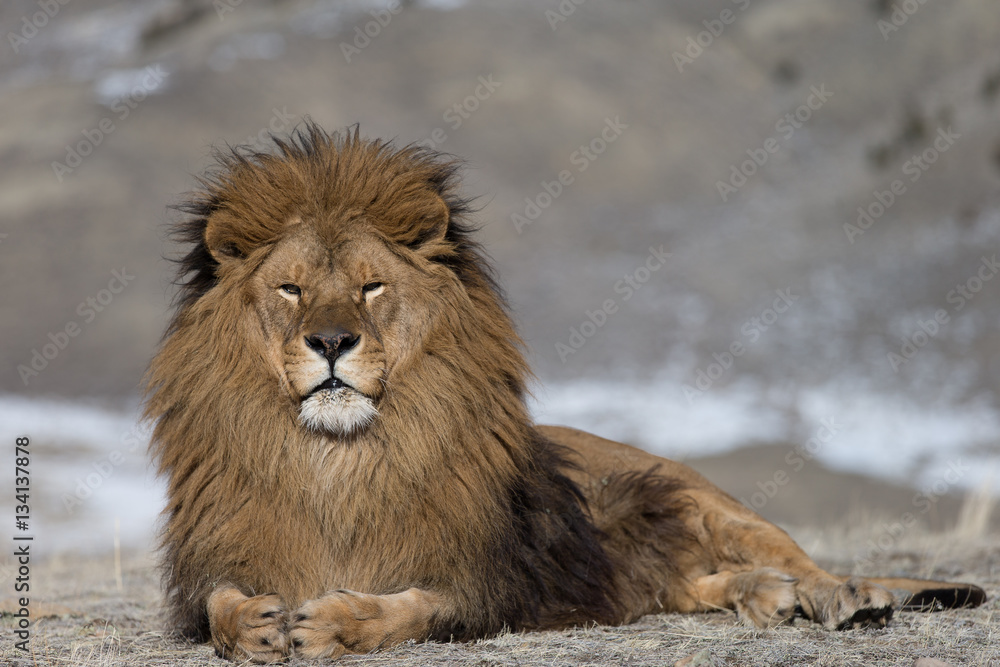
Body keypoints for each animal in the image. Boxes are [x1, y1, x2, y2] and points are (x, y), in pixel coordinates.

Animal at [145, 124, 986, 663]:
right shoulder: (209, 561)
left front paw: (336, 623)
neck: (334, 457)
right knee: (700, 582)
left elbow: (408, 607)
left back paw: (845, 597)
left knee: (809, 561)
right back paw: (768, 597)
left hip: (706, 499)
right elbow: (217, 603)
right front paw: (254, 623)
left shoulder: (489, 585)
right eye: (290, 289)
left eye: (370, 286)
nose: (329, 341)